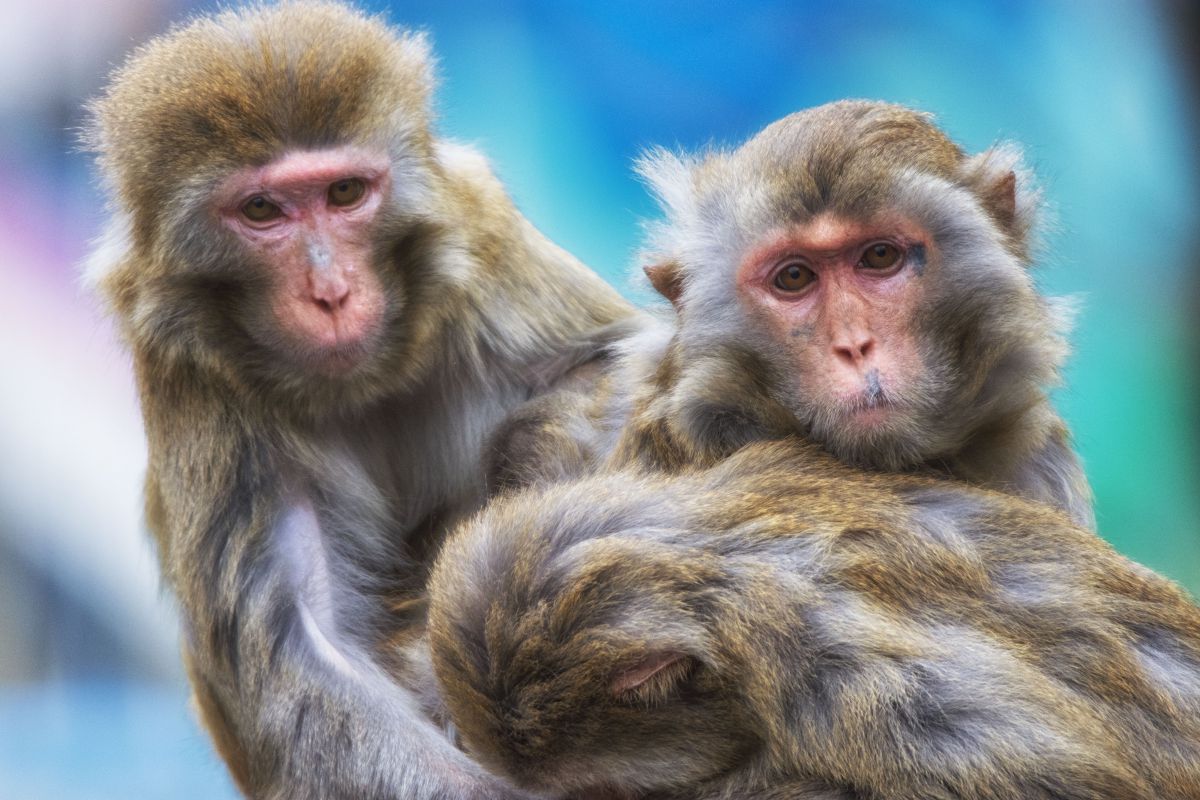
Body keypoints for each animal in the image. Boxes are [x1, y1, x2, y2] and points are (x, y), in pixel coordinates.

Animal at [84, 3, 637, 798]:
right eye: (262, 210)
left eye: (345, 194)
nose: (331, 291)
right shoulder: (188, 369)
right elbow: (305, 651)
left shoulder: (479, 228)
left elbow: (619, 360)